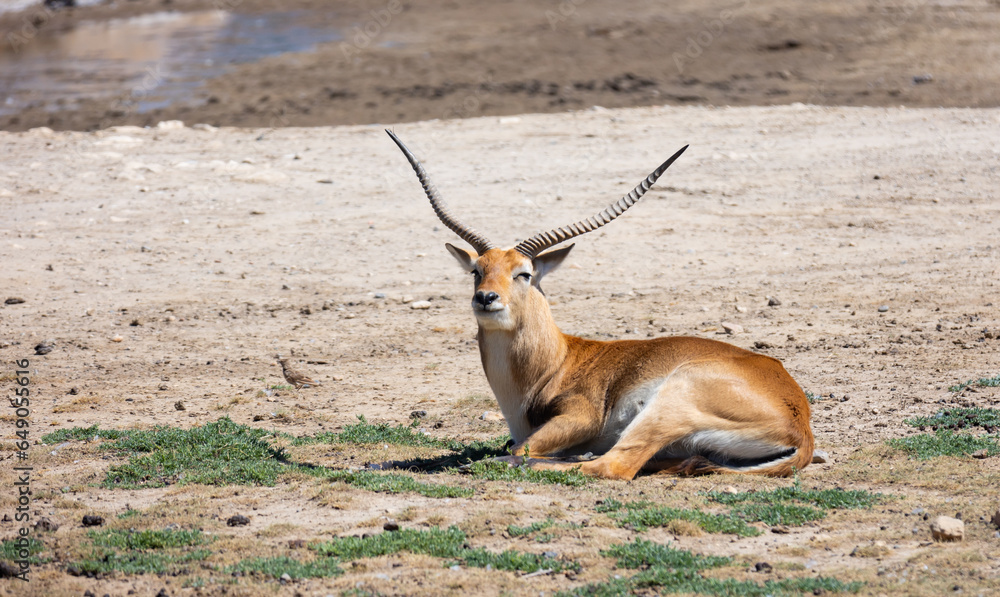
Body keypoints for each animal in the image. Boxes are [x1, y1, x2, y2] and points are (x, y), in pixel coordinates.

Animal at [387, 130, 814, 479]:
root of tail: (799, 422)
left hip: (666, 406)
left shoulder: (580, 417)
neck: (557, 361)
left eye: (524, 273)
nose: (486, 298)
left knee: (612, 465)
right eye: (477, 270)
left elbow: (521, 447)